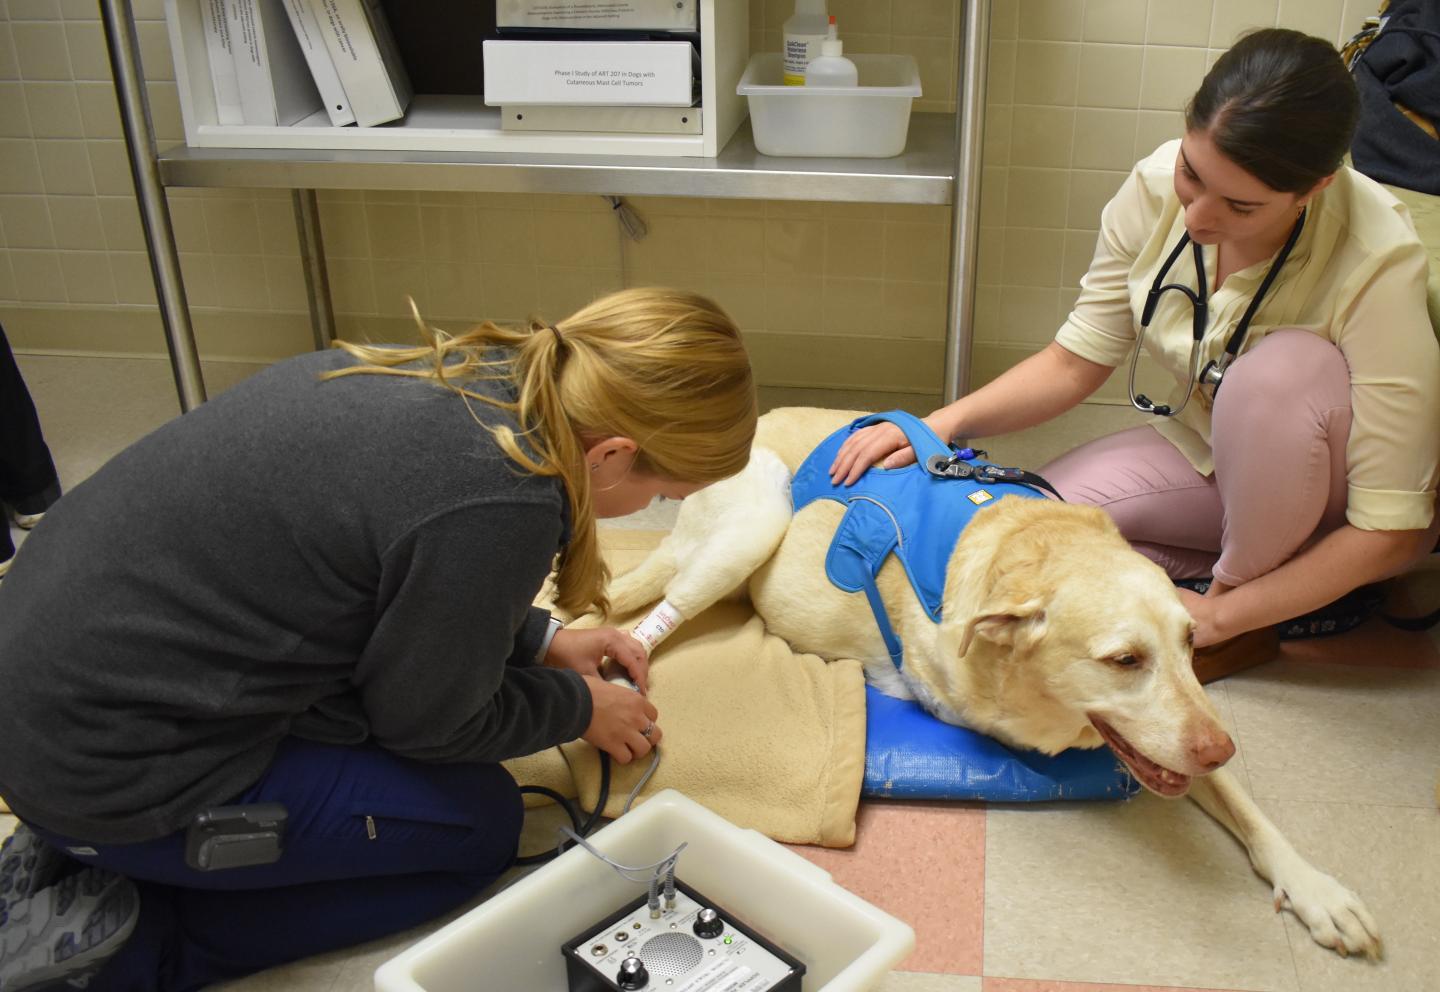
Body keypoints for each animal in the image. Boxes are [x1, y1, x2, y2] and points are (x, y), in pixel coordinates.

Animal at [607, 406, 1382, 956]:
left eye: (1192, 642)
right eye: (1124, 660)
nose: (1219, 746)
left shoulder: (1179, 734)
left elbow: (1247, 809)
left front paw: (1316, 889)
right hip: (754, 524)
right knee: (640, 609)